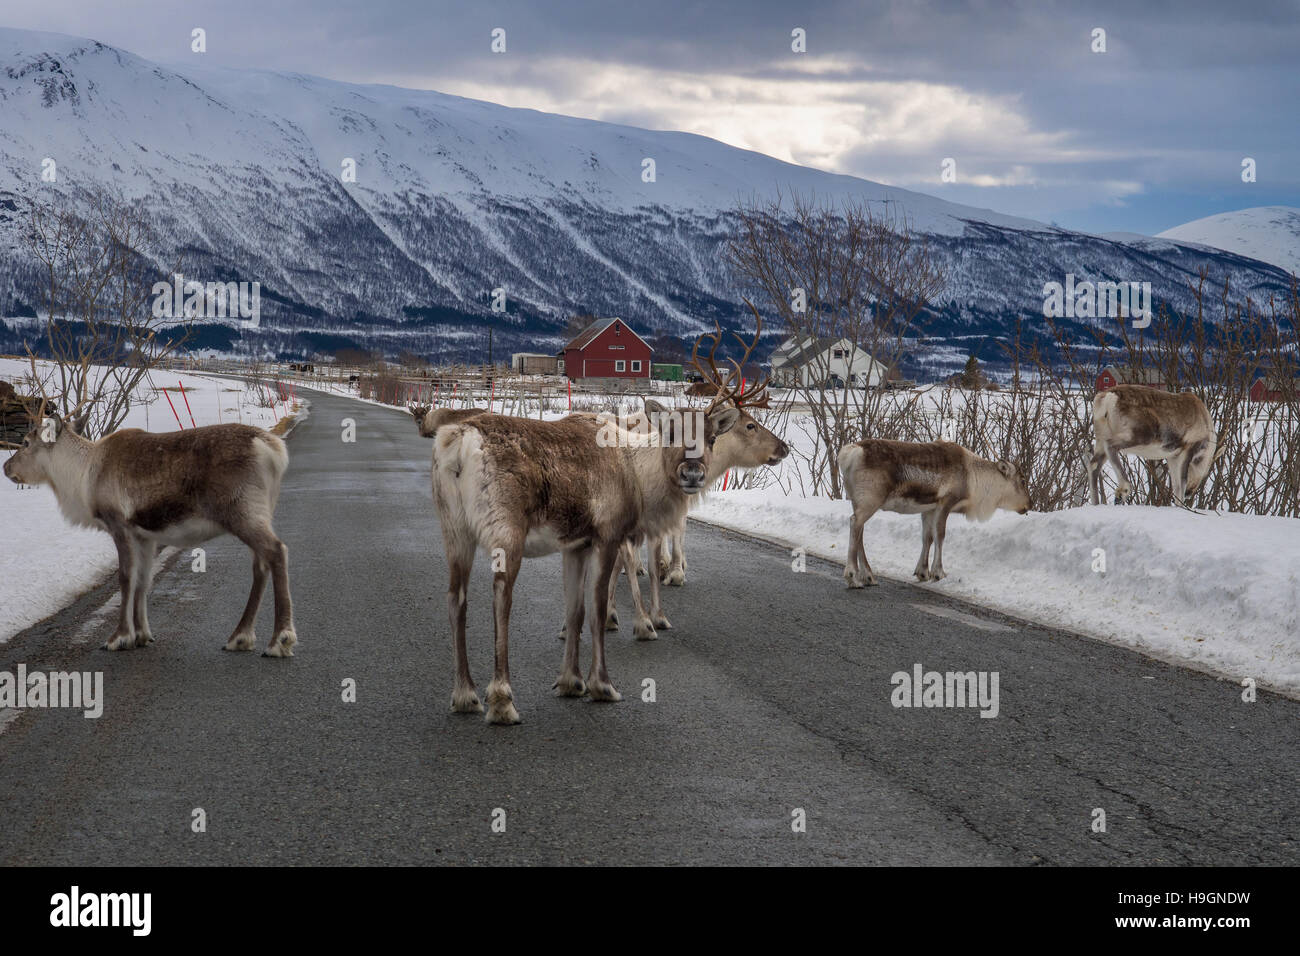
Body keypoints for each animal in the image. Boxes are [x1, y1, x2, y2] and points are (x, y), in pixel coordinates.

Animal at [3, 402, 298, 656]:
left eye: (26, 442)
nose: (6, 467)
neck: (82, 476)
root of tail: (275, 450)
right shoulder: (144, 535)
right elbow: (144, 580)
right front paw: (142, 634)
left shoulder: (119, 525)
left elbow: (126, 577)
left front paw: (119, 637)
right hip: (258, 514)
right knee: (260, 565)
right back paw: (240, 637)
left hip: (241, 513)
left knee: (277, 551)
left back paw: (279, 639)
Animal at [430, 365, 741, 725]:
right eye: (671, 433)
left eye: (712, 438)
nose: (692, 473)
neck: (638, 476)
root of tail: (456, 446)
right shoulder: (607, 534)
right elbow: (597, 609)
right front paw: (601, 684)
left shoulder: (575, 544)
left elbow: (575, 609)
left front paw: (570, 681)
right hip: (506, 528)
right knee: (501, 599)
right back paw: (502, 700)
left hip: (454, 529)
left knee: (455, 598)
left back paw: (464, 695)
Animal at [839, 439, 1032, 587]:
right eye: (1022, 480)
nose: (1029, 504)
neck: (974, 480)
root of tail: (850, 453)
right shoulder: (945, 503)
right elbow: (940, 535)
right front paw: (938, 573)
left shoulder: (929, 509)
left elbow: (927, 537)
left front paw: (922, 572)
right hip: (870, 500)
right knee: (855, 523)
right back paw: (853, 577)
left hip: (858, 500)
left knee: (860, 530)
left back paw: (869, 576)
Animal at [1087, 385, 1218, 507]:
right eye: (1206, 472)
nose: (1189, 492)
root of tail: (1106, 398)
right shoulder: (1188, 449)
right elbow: (1182, 483)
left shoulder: (1172, 456)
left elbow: (1176, 487)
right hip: (1141, 434)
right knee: (1110, 444)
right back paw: (1123, 491)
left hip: (1101, 437)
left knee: (1094, 464)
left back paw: (1095, 503)